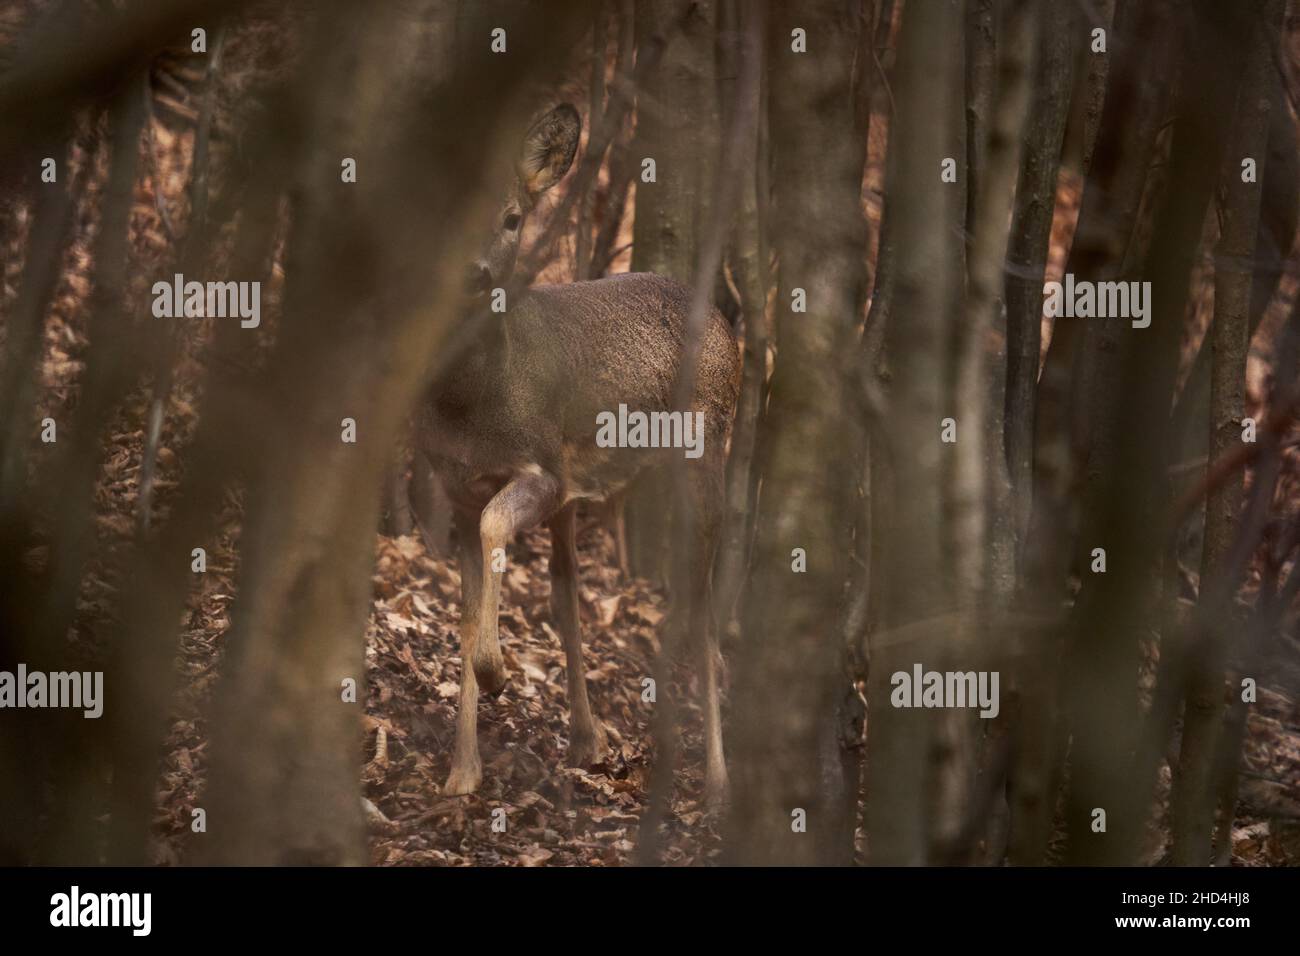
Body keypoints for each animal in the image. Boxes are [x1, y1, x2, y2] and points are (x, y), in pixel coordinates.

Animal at [414, 103, 741, 803]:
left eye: (513, 216)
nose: (474, 272)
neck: (477, 400)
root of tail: (727, 323)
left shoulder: (543, 470)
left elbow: (495, 531)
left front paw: (498, 673)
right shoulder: (458, 489)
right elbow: (466, 614)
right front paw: (462, 772)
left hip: (707, 451)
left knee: (706, 613)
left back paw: (718, 780)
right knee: (571, 597)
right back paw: (591, 740)